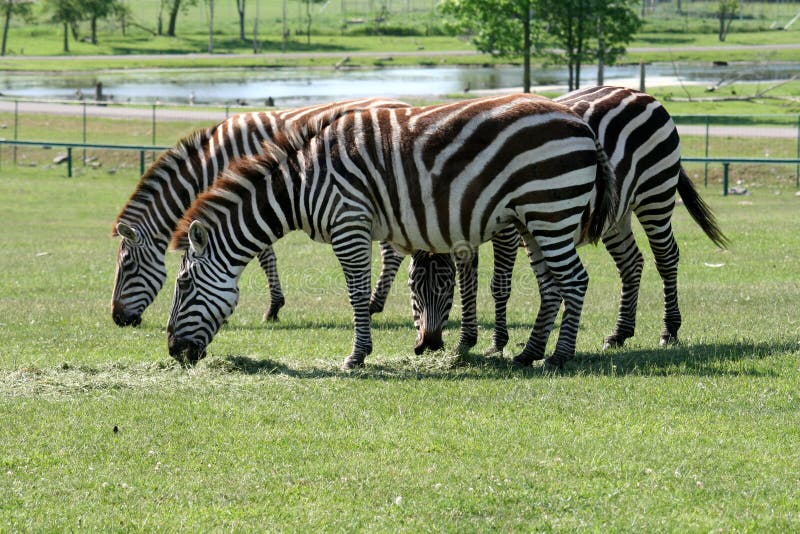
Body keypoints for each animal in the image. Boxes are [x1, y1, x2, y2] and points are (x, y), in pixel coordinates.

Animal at [110, 97, 409, 328]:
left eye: (127, 265)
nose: (118, 319)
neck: (210, 164)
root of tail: (402, 103)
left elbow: (265, 257)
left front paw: (273, 308)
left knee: (392, 254)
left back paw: (373, 304)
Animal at [166, 94, 618, 370]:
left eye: (183, 284)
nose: (173, 352)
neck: (300, 185)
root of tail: (580, 123)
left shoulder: (349, 224)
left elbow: (356, 294)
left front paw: (357, 356)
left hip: (551, 211)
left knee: (575, 281)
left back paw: (559, 356)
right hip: (534, 220)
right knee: (552, 286)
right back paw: (529, 353)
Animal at [407, 86, 729, 364]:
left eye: (443, 287)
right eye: (413, 287)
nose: (428, 345)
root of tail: (638, 92)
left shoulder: (507, 230)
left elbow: (498, 285)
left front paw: (497, 343)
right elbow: (469, 285)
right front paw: (466, 341)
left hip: (656, 193)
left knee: (666, 257)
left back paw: (669, 330)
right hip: (616, 212)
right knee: (631, 262)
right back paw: (619, 334)